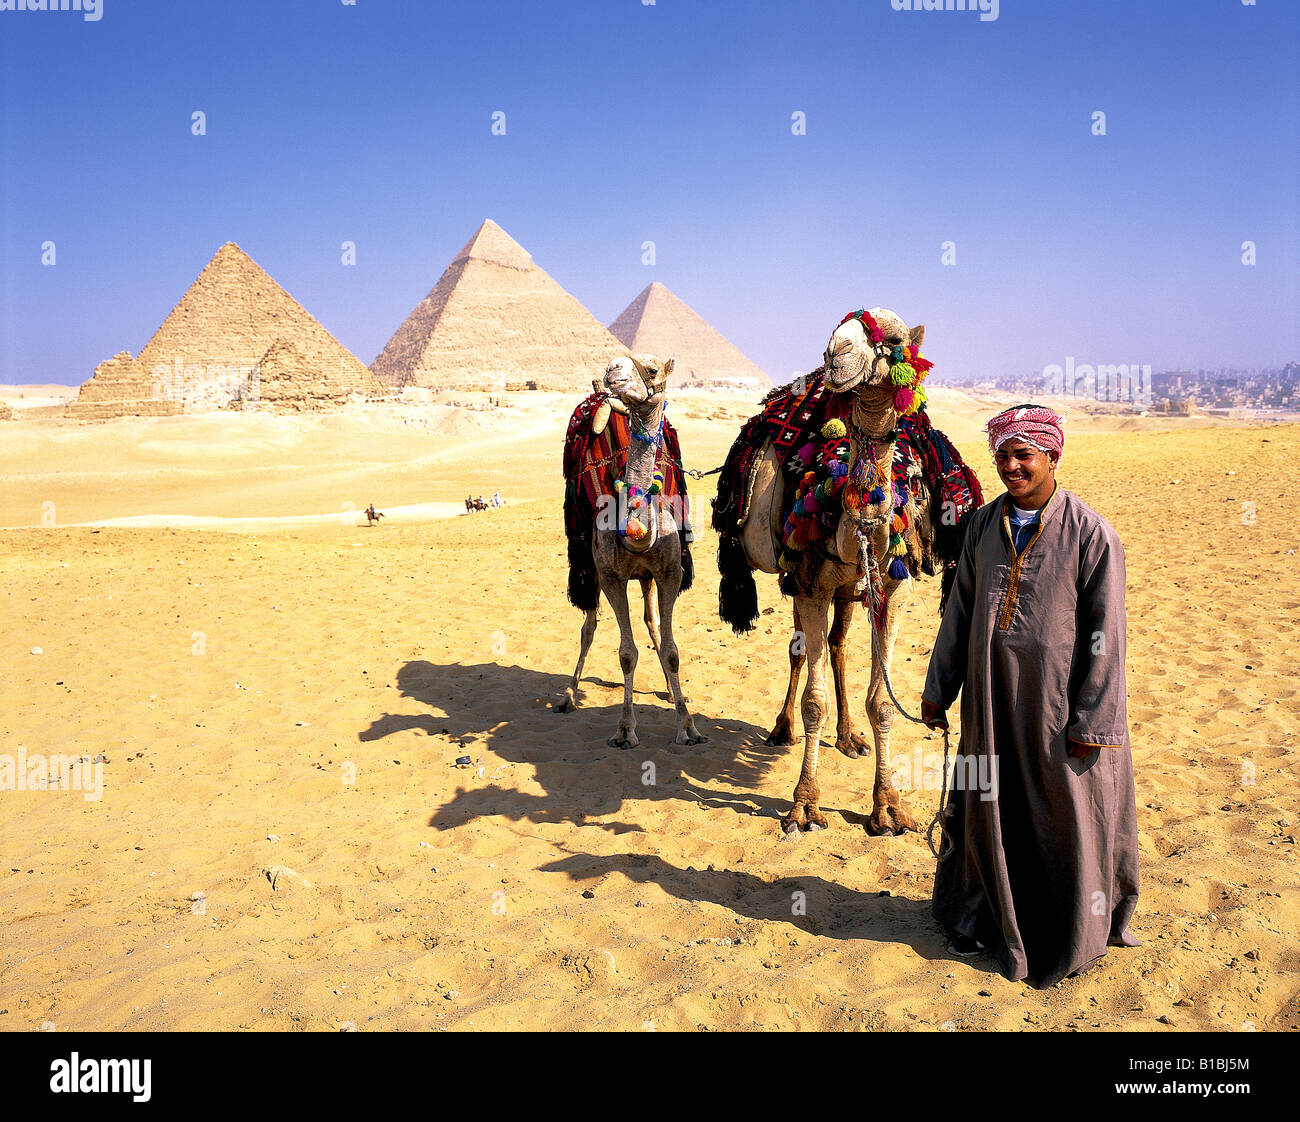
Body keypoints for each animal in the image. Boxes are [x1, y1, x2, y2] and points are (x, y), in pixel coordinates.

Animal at [556, 355, 707, 749]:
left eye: (653, 370)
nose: (613, 371)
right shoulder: (611, 576)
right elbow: (626, 653)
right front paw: (625, 729)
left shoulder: (670, 573)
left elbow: (671, 650)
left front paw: (687, 725)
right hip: (588, 566)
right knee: (589, 626)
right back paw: (568, 695)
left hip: (647, 577)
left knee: (651, 622)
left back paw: (670, 689)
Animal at [716, 308, 935, 836]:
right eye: (834, 335)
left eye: (894, 340)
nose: (837, 353)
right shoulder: (810, 582)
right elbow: (813, 699)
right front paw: (803, 806)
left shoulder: (892, 587)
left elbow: (883, 702)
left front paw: (888, 808)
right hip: (799, 577)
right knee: (800, 651)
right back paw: (783, 728)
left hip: (850, 588)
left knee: (836, 645)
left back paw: (849, 735)